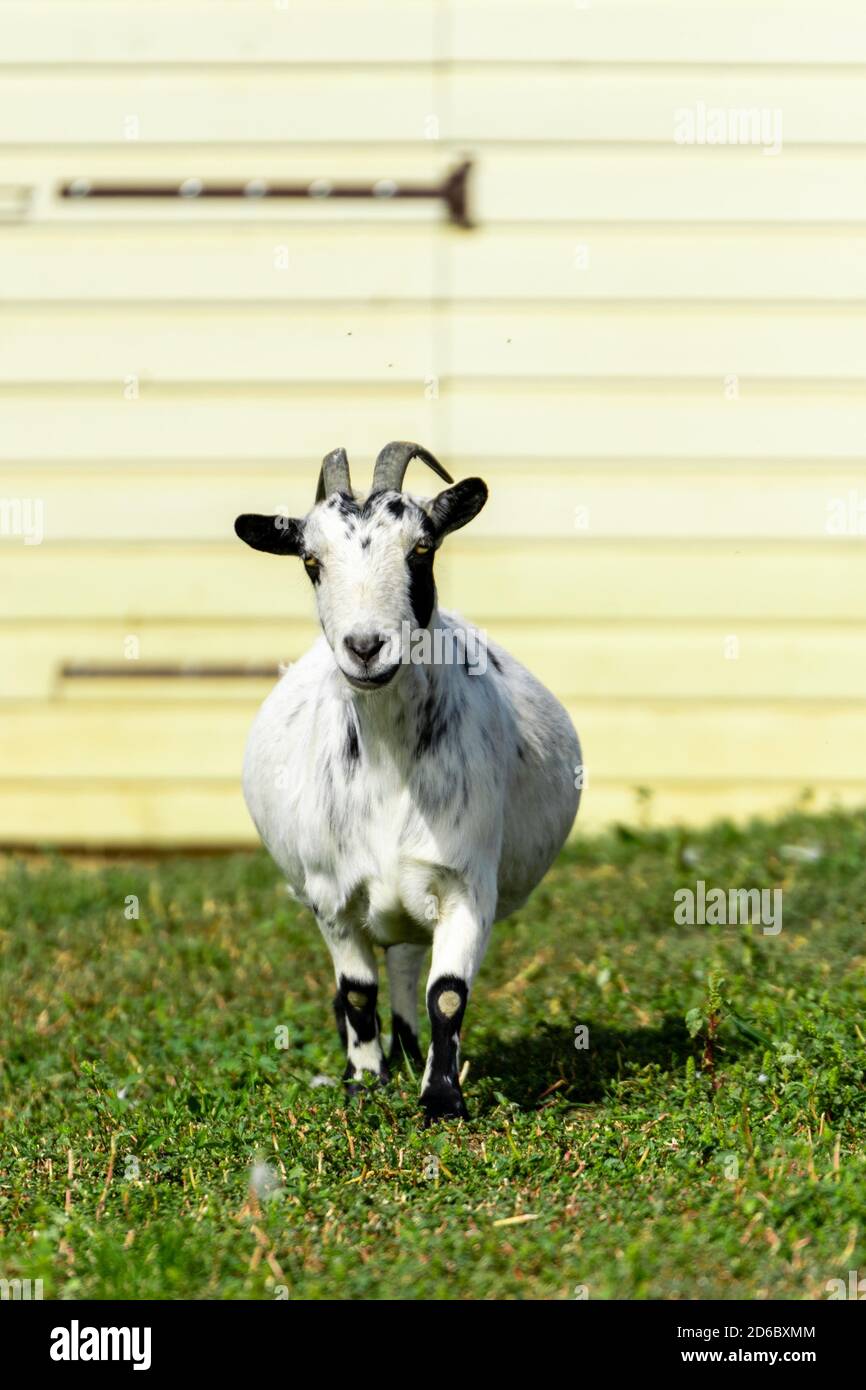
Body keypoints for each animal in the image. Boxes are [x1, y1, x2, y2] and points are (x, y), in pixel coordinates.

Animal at [235, 442, 581, 1119]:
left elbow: (445, 994)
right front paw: (364, 1082)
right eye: (311, 560)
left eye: (422, 548)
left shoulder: (465, 882)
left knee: (406, 971)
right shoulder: (331, 896)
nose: (366, 647)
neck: (390, 772)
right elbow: (356, 992)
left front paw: (441, 1098)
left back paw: (411, 1053)